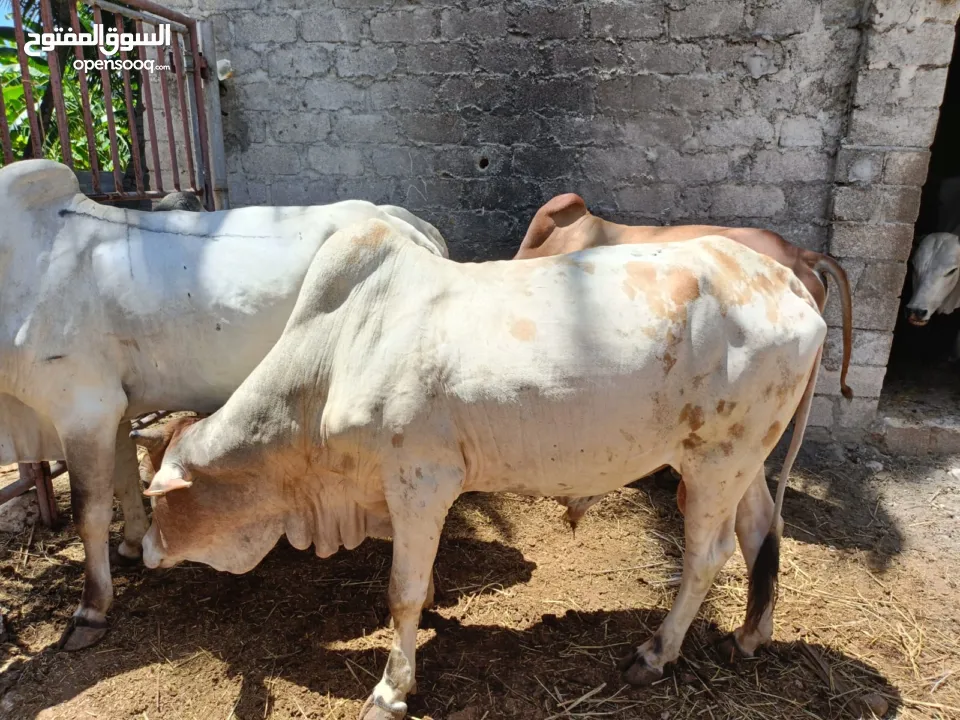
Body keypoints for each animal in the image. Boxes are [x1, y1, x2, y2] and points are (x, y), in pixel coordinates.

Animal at [0, 159, 447, 651]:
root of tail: (403, 221)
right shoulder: (113, 408)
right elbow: (124, 483)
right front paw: (133, 544)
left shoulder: (82, 408)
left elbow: (90, 514)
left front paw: (91, 610)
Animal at [137, 218, 827, 719]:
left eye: (159, 500)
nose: (144, 549)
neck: (332, 361)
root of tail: (787, 280)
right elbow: (419, 584)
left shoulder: (420, 482)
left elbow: (401, 590)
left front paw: (391, 690)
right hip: (743, 460)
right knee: (761, 529)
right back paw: (750, 636)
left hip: (716, 462)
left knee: (707, 555)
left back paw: (656, 654)